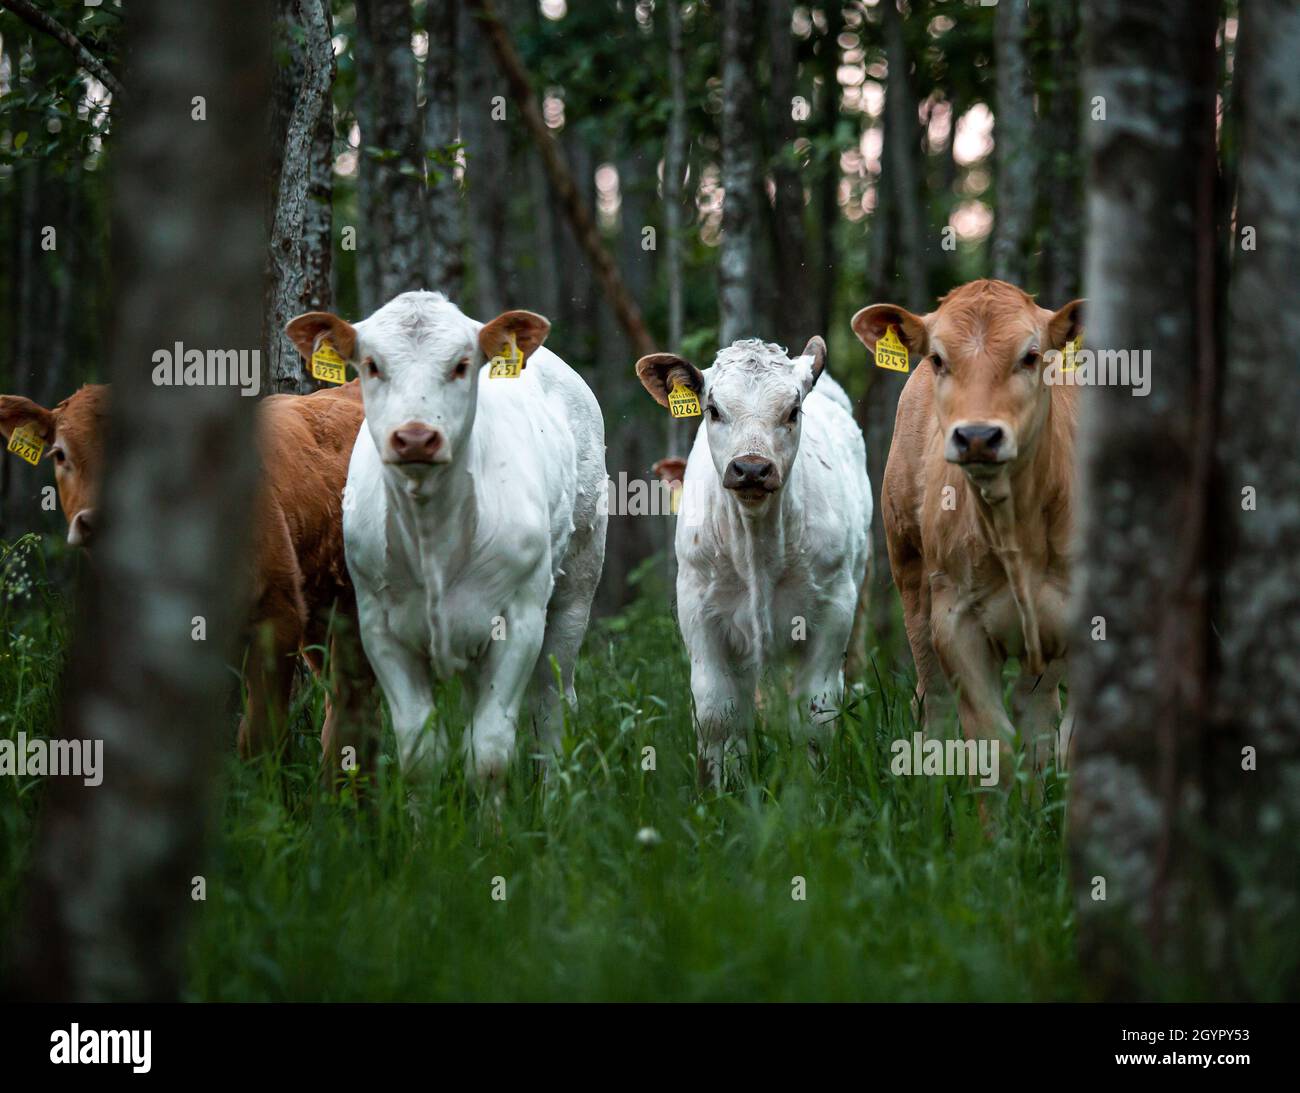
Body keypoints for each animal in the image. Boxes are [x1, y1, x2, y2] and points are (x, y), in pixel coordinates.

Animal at [285, 291, 608, 786]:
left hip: (576, 587)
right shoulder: (380, 628)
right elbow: (422, 753)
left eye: (461, 364)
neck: (432, 533)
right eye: (372, 364)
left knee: (552, 703)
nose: (416, 437)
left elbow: (490, 752)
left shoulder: (519, 621)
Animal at [636, 337, 871, 786]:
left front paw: (811, 788)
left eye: (793, 410)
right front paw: (721, 788)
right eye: (713, 409)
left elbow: (815, 712)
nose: (751, 469)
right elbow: (717, 713)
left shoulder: (835, 609)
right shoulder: (699, 610)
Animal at [851, 279, 1085, 785]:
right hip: (911, 573)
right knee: (932, 699)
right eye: (940, 358)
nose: (977, 436)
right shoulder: (956, 620)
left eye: (1030, 356)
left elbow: (1042, 731)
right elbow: (993, 742)